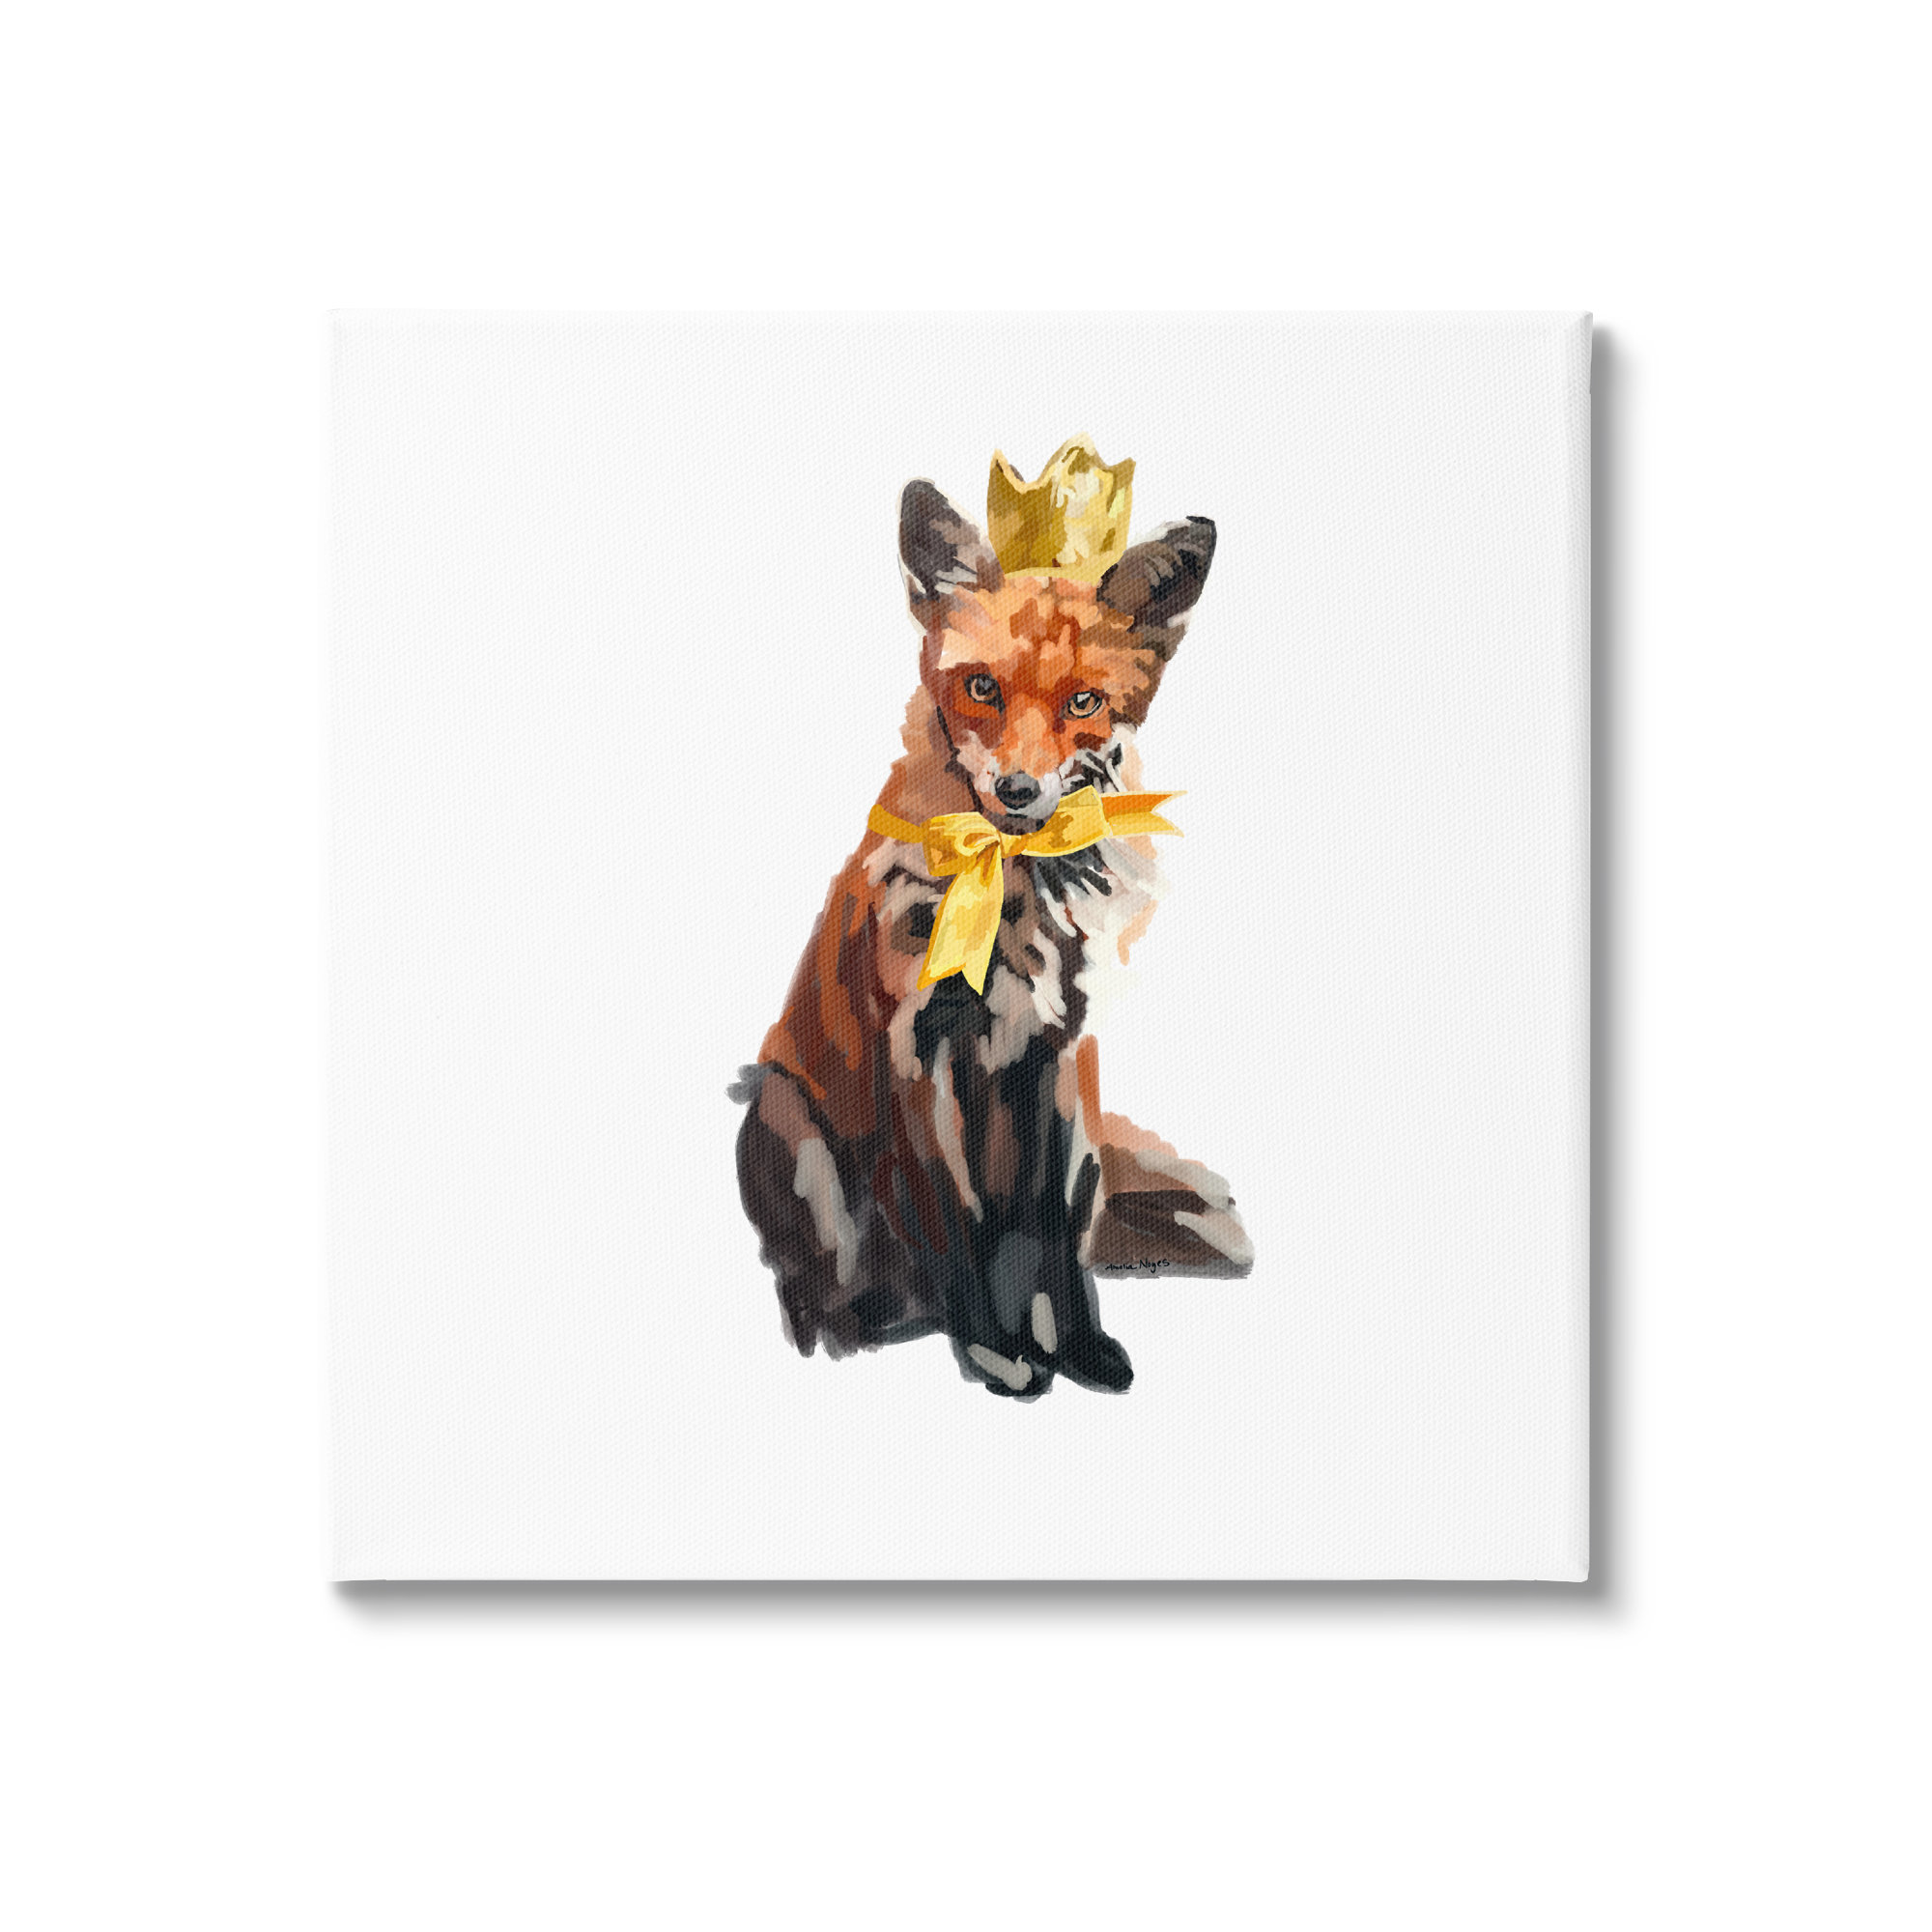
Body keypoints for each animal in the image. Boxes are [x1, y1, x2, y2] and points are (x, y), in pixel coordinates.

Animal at [731, 471, 1252, 1399]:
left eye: (1083, 702)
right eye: (981, 688)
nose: (1016, 792)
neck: (1011, 906)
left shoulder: (1063, 1056)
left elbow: (1058, 1232)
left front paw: (1075, 1347)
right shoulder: (918, 1058)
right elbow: (956, 1223)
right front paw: (999, 1354)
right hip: (789, 1125)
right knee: (832, 1287)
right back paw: (858, 1324)